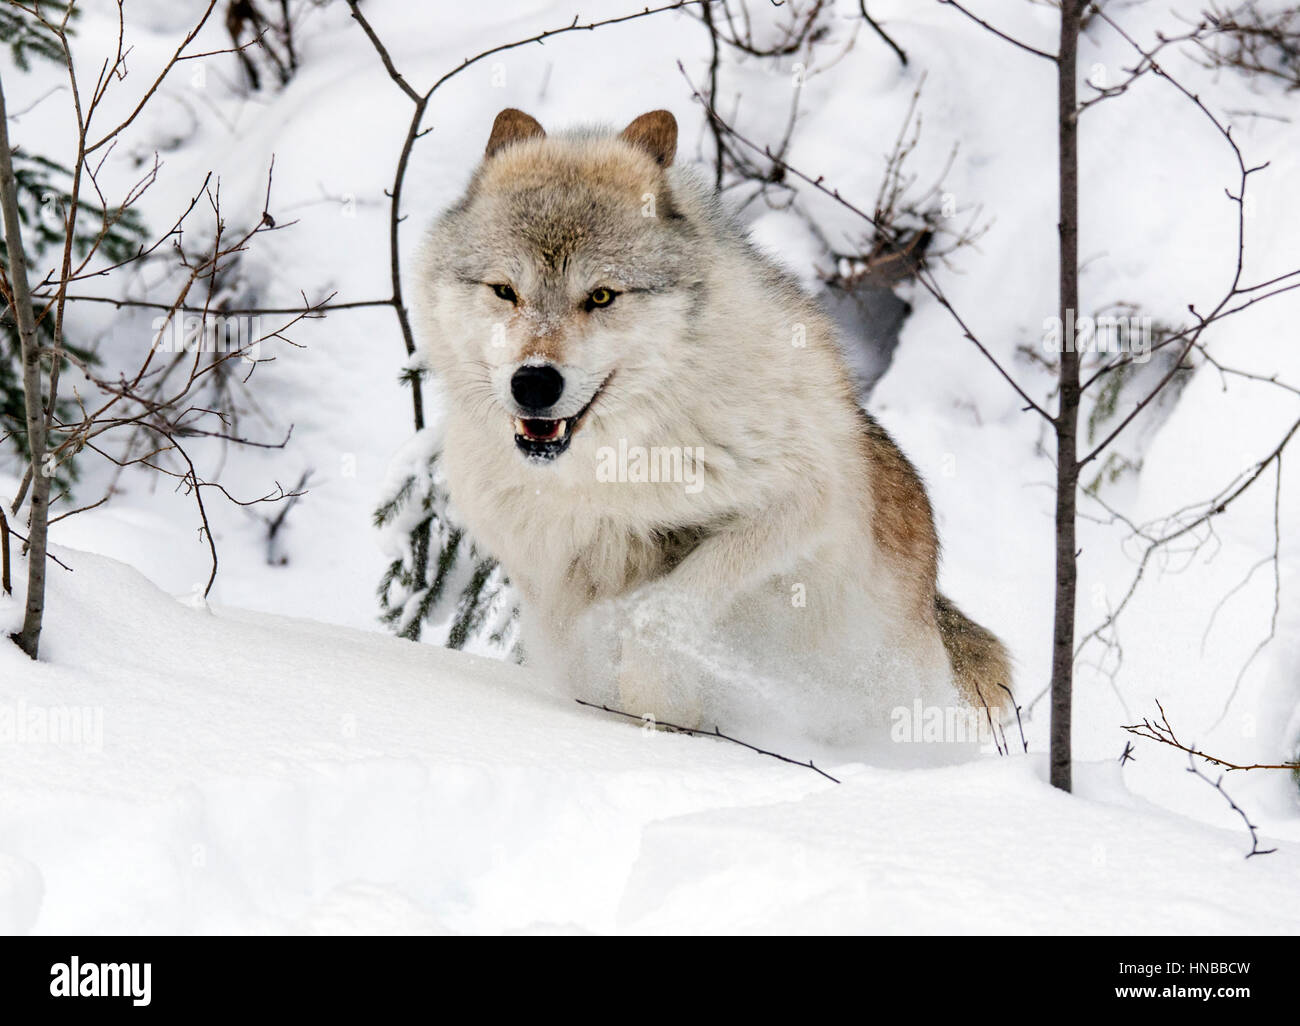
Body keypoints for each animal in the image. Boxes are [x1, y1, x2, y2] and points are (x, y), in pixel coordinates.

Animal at [414, 108, 1010, 740]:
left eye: (601, 296)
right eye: (506, 290)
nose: (533, 383)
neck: (605, 471)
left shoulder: (800, 502)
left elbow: (658, 613)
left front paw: (662, 714)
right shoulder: (550, 584)